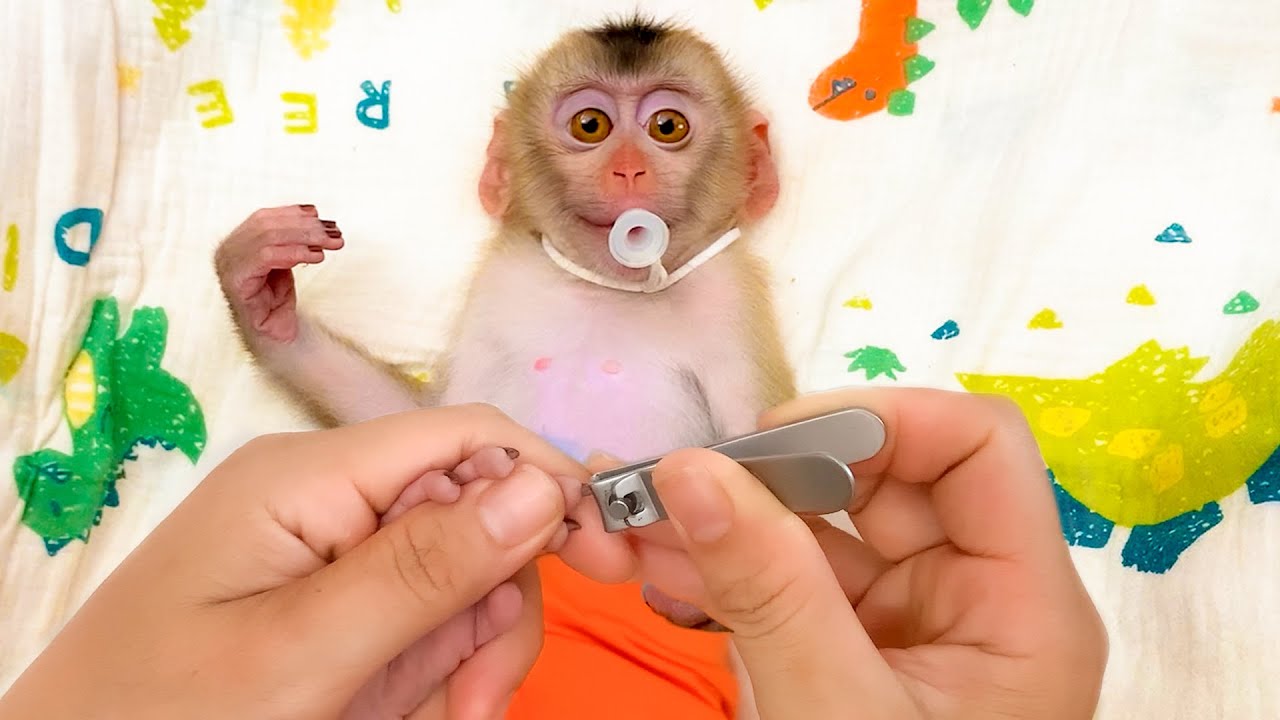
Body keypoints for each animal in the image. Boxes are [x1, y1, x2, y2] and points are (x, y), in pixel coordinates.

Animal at [215, 15, 794, 717]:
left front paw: (697, 597)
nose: (628, 171)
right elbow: (429, 418)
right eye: (591, 126)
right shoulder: (503, 284)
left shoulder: (730, 302)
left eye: (667, 126)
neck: (610, 293)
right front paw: (265, 306)